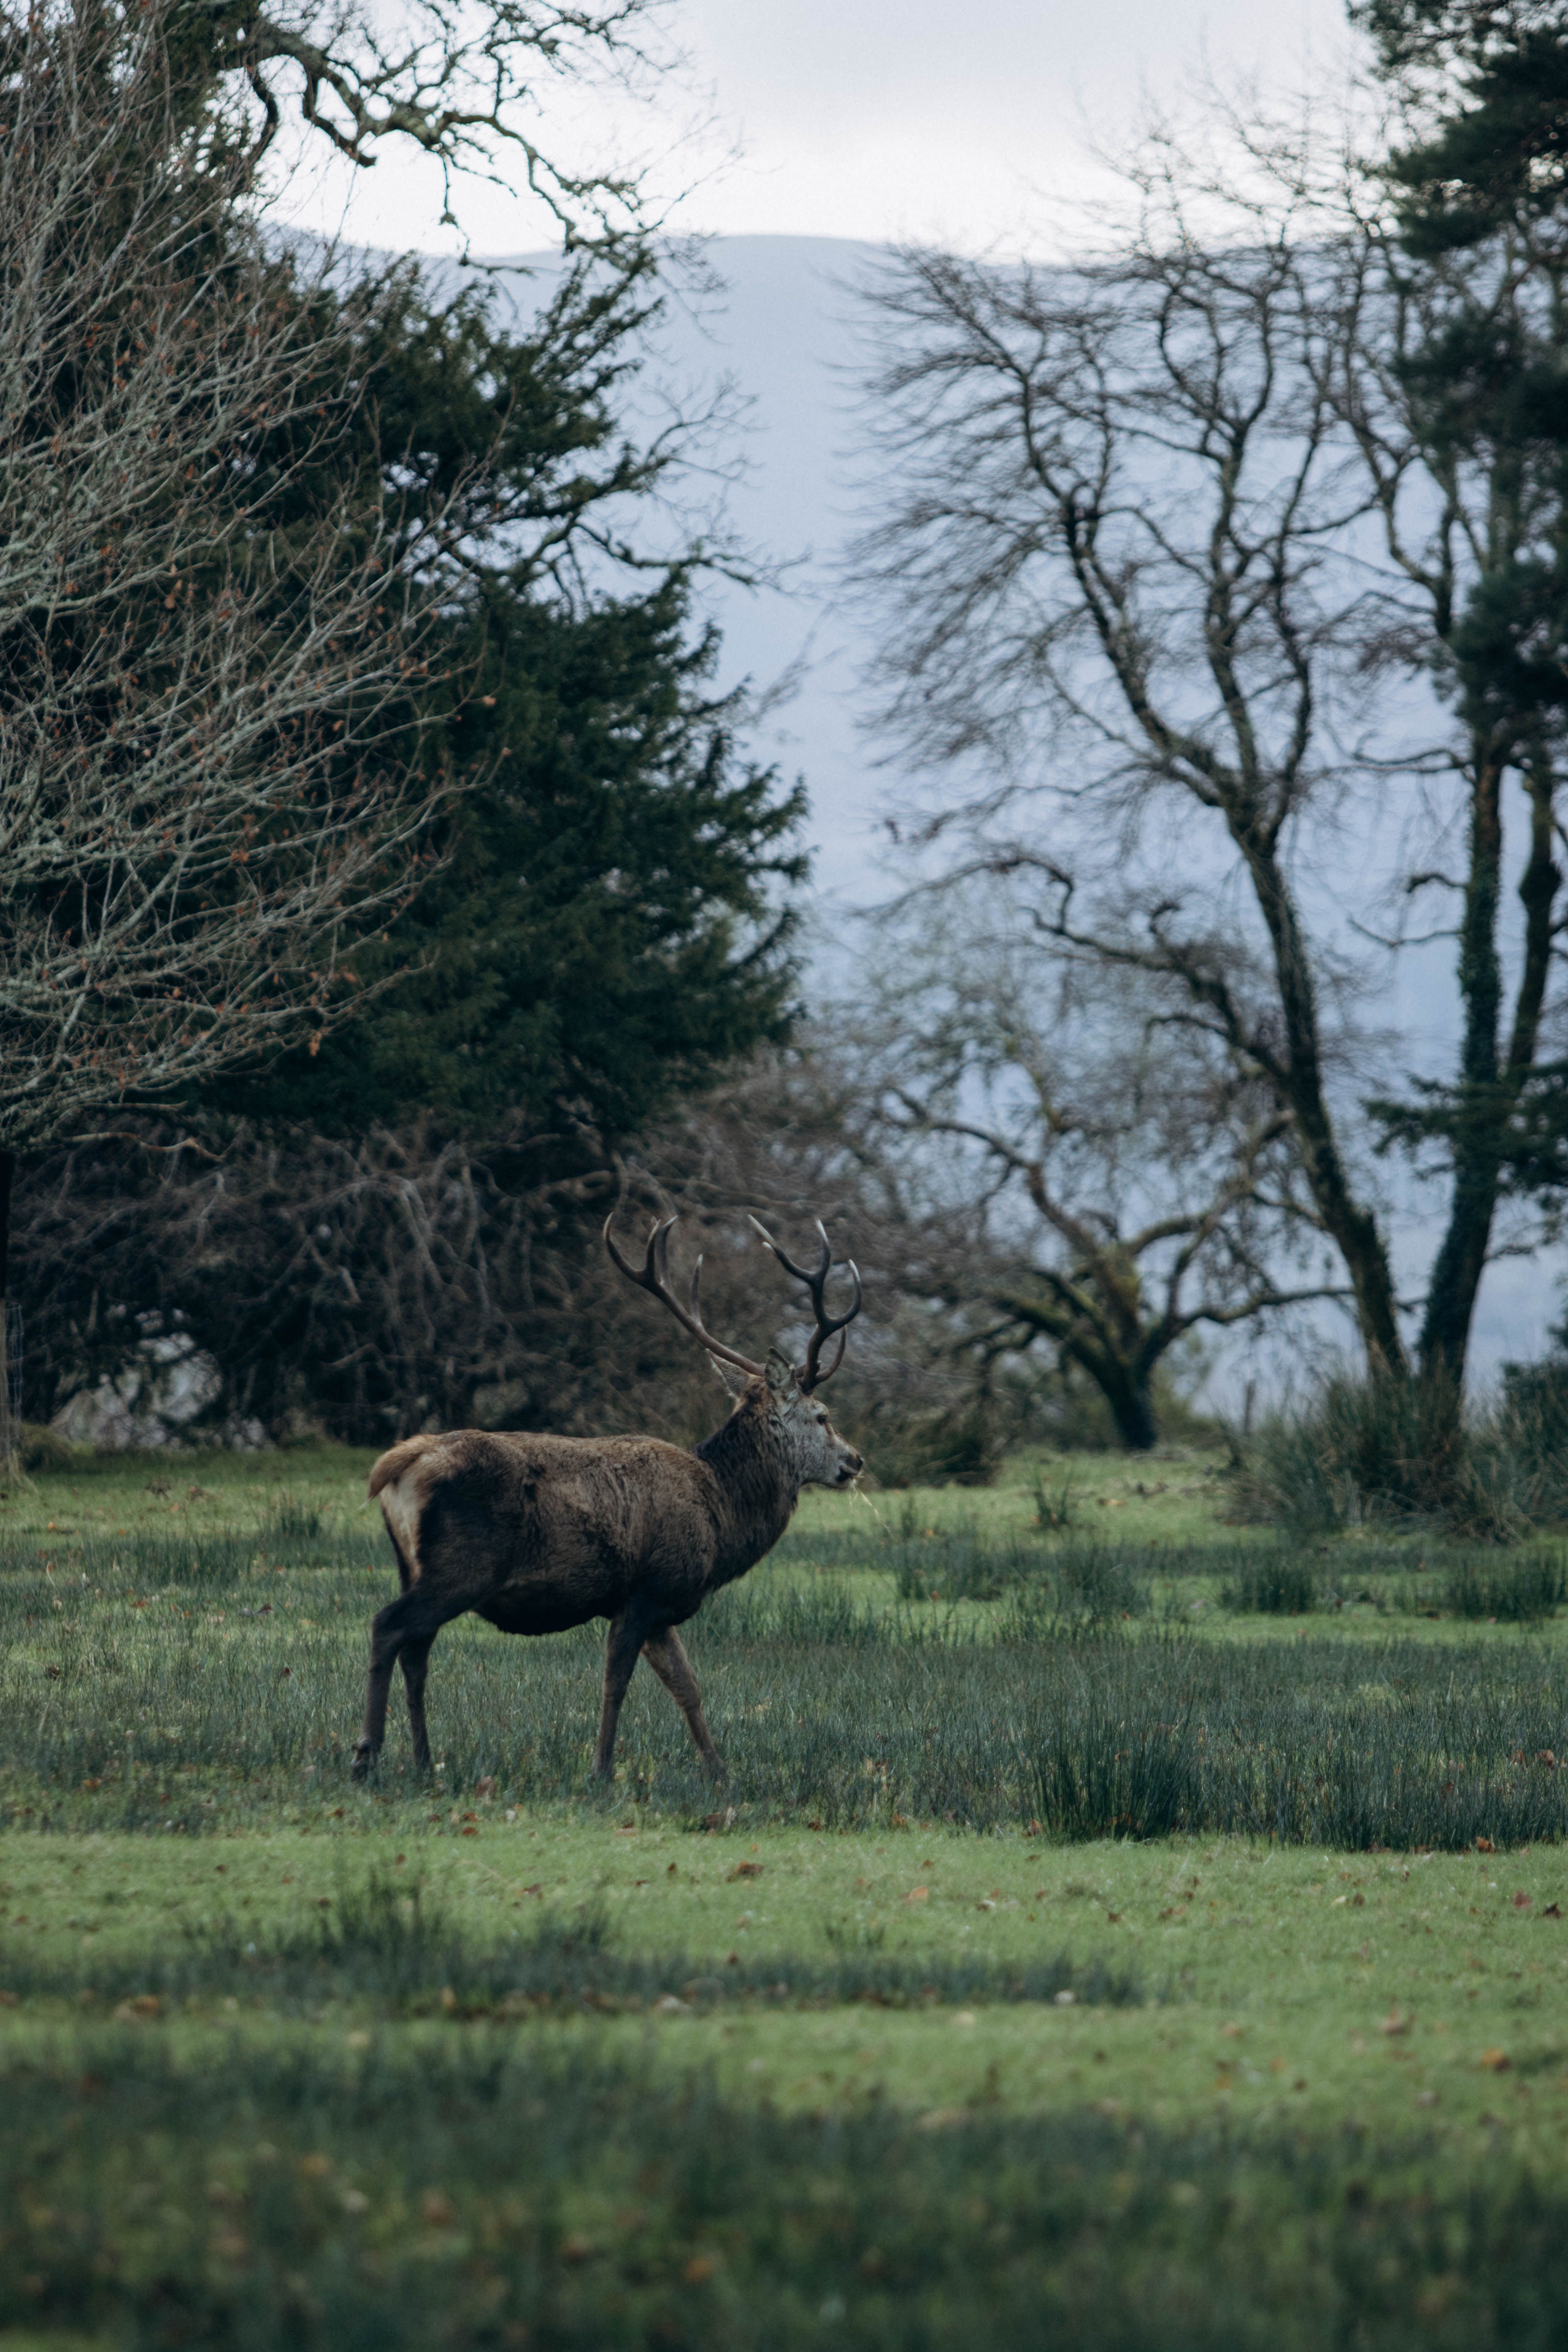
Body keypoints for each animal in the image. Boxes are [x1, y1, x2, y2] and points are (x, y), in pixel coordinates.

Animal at [349, 1213, 864, 1785]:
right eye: (822, 1416)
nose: (855, 1460)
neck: (721, 1513)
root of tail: (398, 1465)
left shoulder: (658, 1606)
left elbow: (688, 1688)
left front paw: (719, 1773)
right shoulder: (646, 1588)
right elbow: (617, 1683)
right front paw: (601, 1770)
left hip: (414, 1565)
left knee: (417, 1651)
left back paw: (422, 1761)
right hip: (463, 1564)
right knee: (389, 1626)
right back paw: (366, 1755)